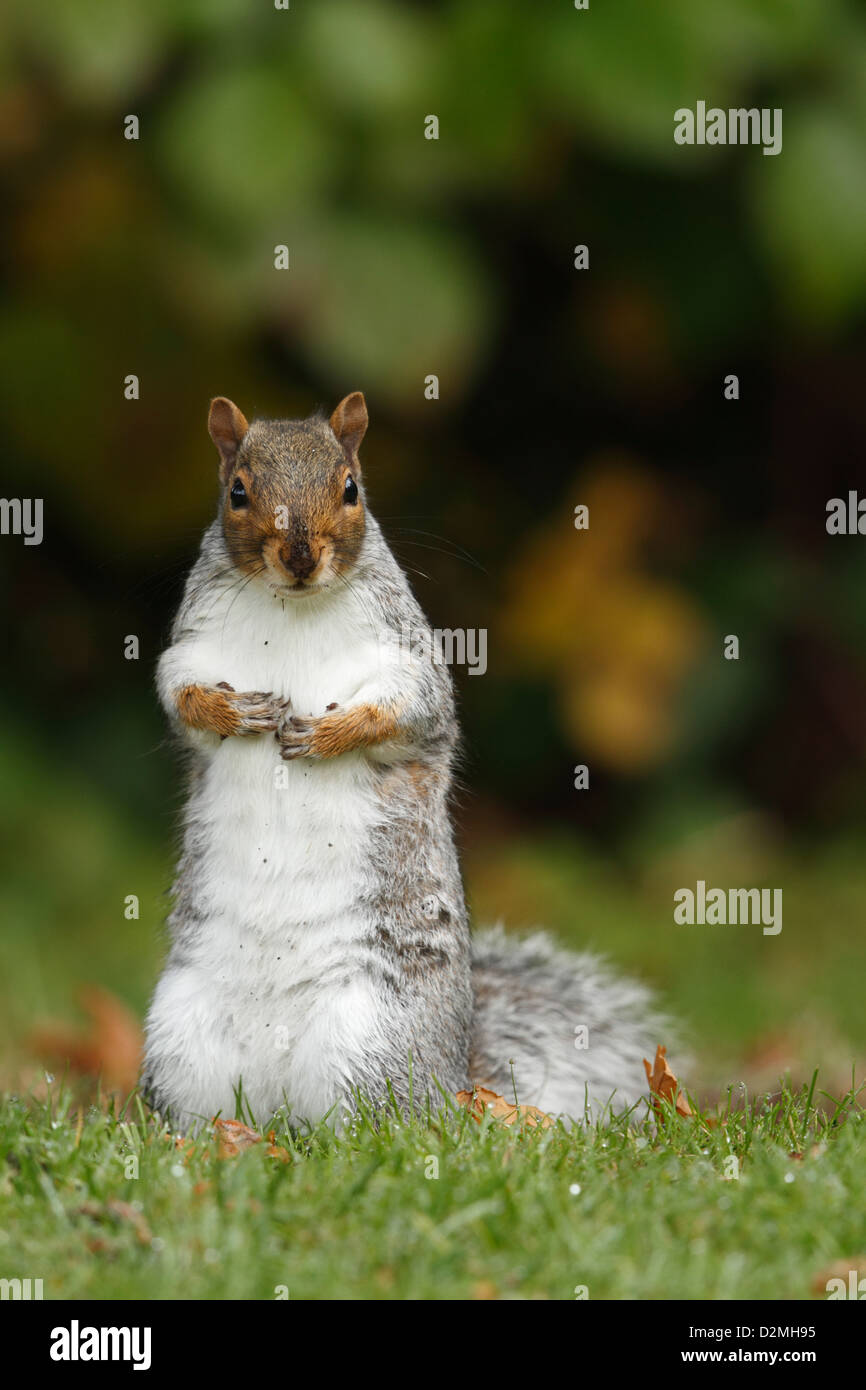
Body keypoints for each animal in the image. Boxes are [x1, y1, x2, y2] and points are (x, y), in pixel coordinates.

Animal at [142, 392, 663, 1133]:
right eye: (237, 492)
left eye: (351, 489)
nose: (299, 556)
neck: (291, 610)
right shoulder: (193, 645)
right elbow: (178, 691)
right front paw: (230, 713)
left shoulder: (409, 661)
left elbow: (409, 712)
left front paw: (330, 733)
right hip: (181, 1039)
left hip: (373, 1038)